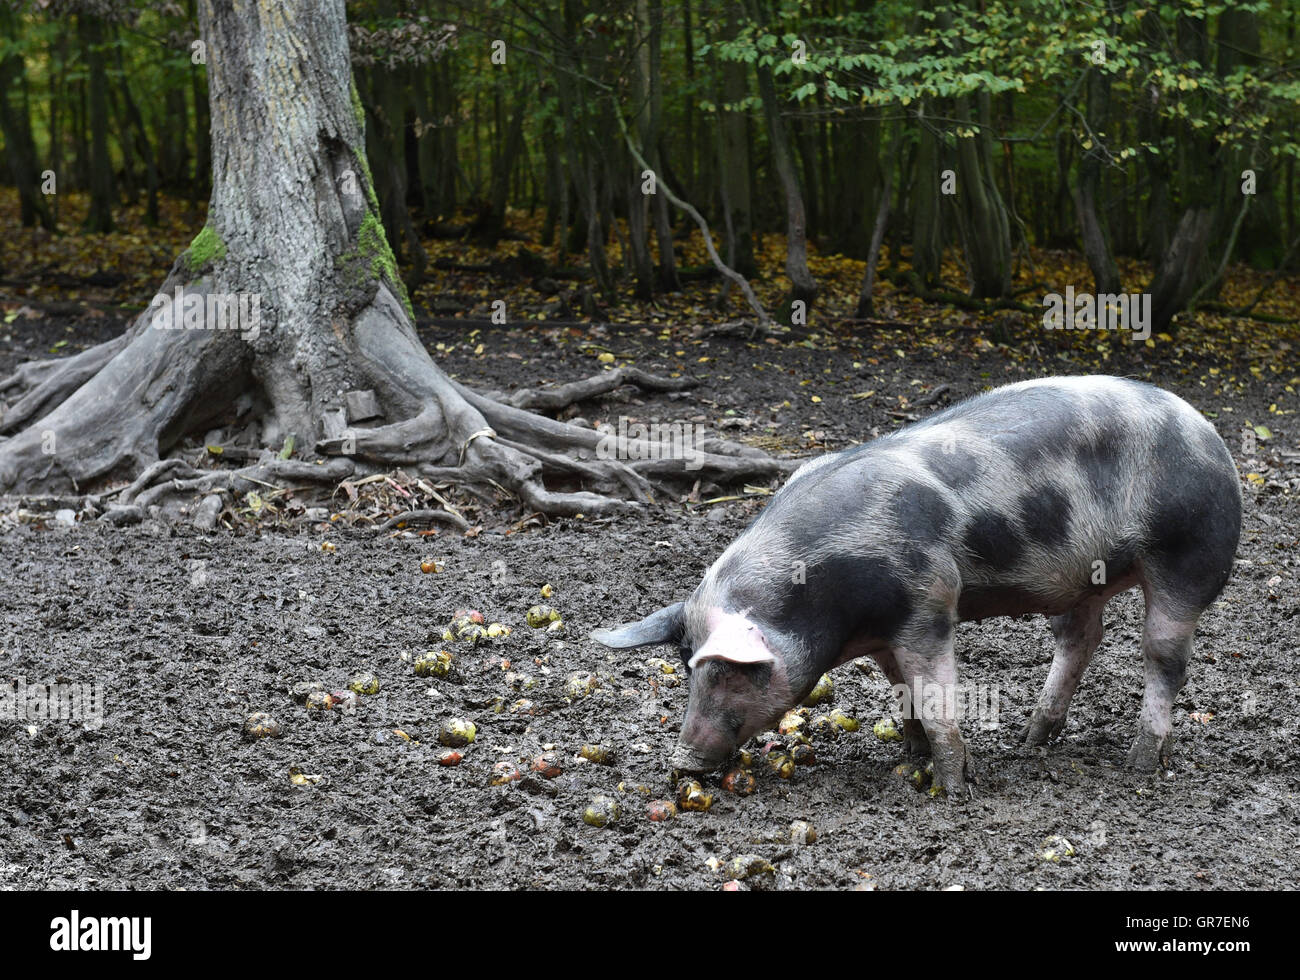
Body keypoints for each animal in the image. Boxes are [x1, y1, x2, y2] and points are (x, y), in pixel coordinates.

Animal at [592, 376, 1241, 797]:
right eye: (687, 669)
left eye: (733, 671)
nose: (683, 762)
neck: (825, 598)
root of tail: (1212, 436)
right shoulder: (885, 633)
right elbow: (902, 690)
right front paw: (910, 754)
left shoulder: (930, 601)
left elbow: (934, 698)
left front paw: (953, 790)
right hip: (1081, 578)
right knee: (1081, 636)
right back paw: (1033, 740)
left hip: (1188, 556)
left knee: (1164, 656)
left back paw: (1138, 764)